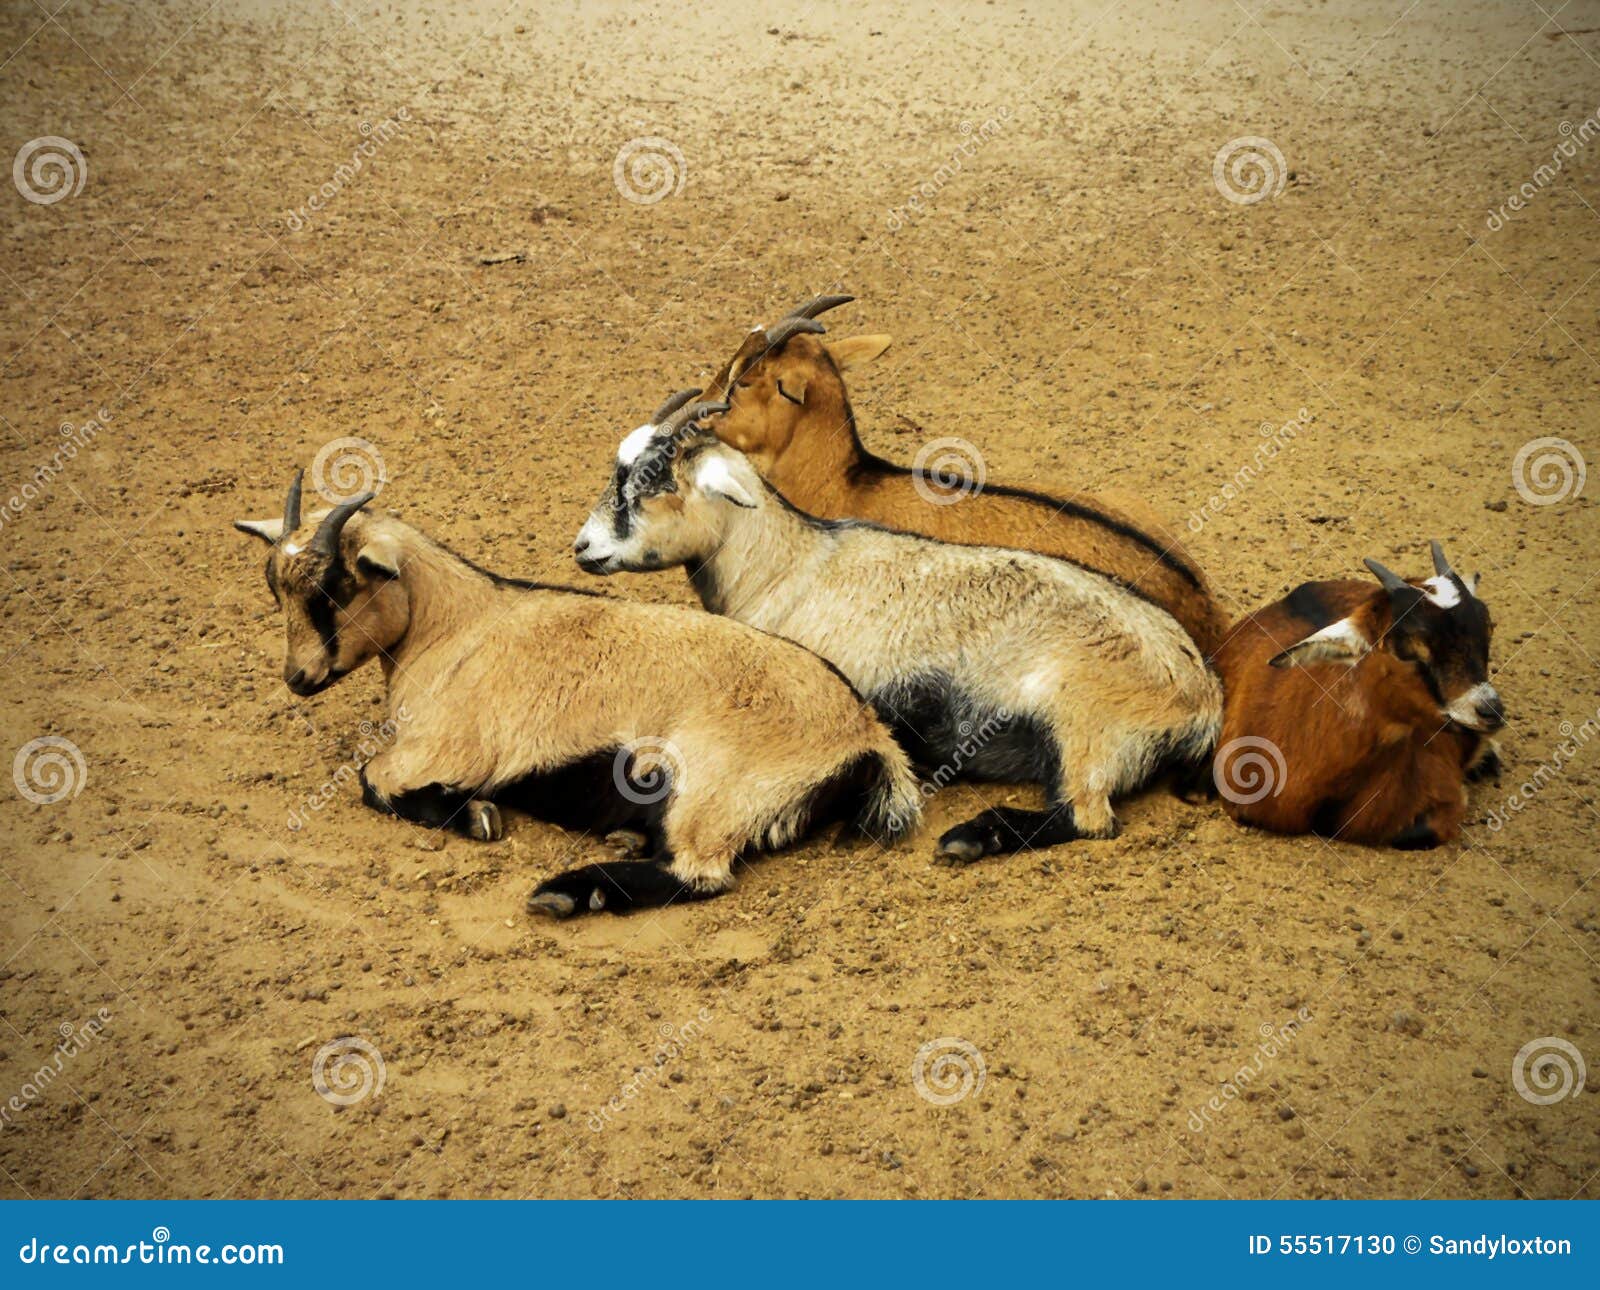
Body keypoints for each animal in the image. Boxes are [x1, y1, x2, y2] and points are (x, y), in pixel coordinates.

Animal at [234, 463, 922, 917]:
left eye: (334, 589)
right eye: (274, 588)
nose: (297, 678)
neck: (453, 627)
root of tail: (866, 734)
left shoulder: (442, 751)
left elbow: (371, 781)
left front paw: (476, 816)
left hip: (716, 785)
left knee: (697, 873)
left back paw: (568, 891)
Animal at [573, 397, 1223, 862]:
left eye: (655, 478)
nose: (583, 548)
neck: (789, 567)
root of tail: (1201, 695)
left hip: (1081, 727)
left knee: (1087, 819)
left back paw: (968, 839)